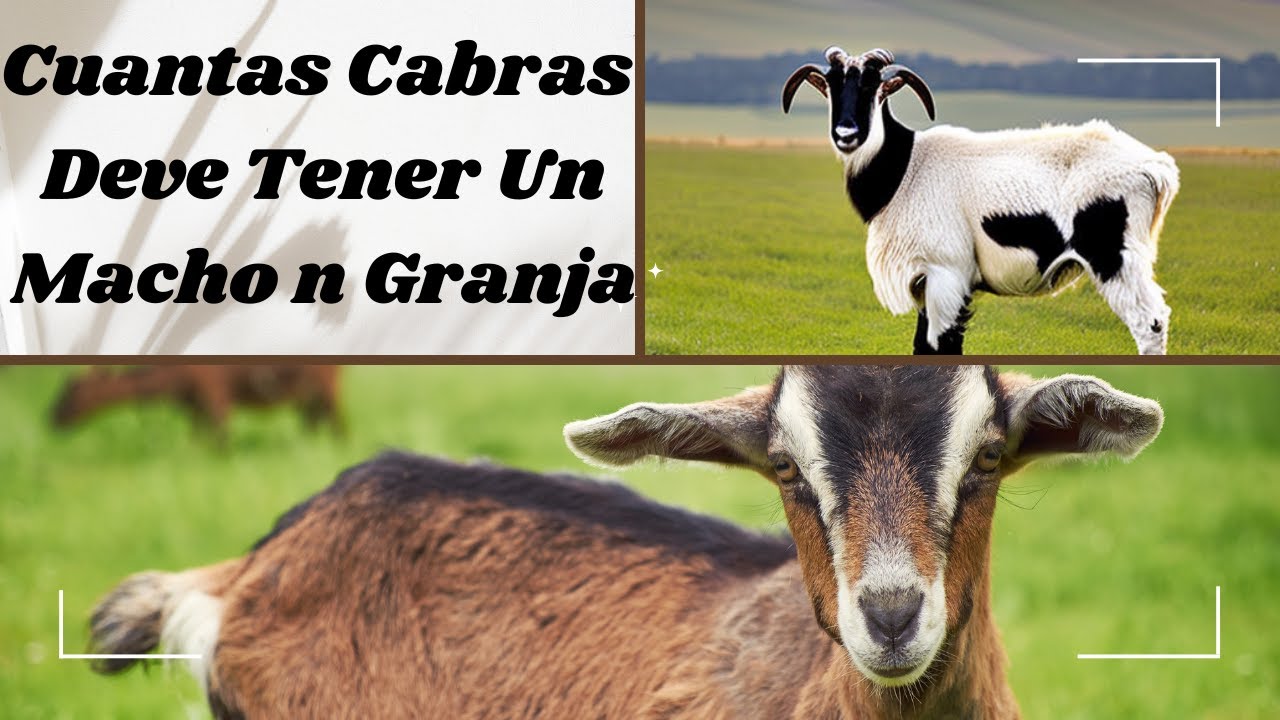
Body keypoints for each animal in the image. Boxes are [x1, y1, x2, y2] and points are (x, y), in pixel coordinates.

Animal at [51, 365, 344, 440]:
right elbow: (198, 439)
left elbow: (220, 439)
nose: (50, 417)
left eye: (73, 390)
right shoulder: (195, 406)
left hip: (327, 387)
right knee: (314, 421)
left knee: (339, 424)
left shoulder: (215, 396)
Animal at [783, 47, 1180, 355]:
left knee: (1150, 322)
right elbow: (922, 346)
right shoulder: (927, 280)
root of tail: (1154, 167)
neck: (906, 166)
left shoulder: (947, 274)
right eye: (832, 85)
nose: (846, 134)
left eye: (872, 85)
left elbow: (942, 346)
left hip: (1114, 255)